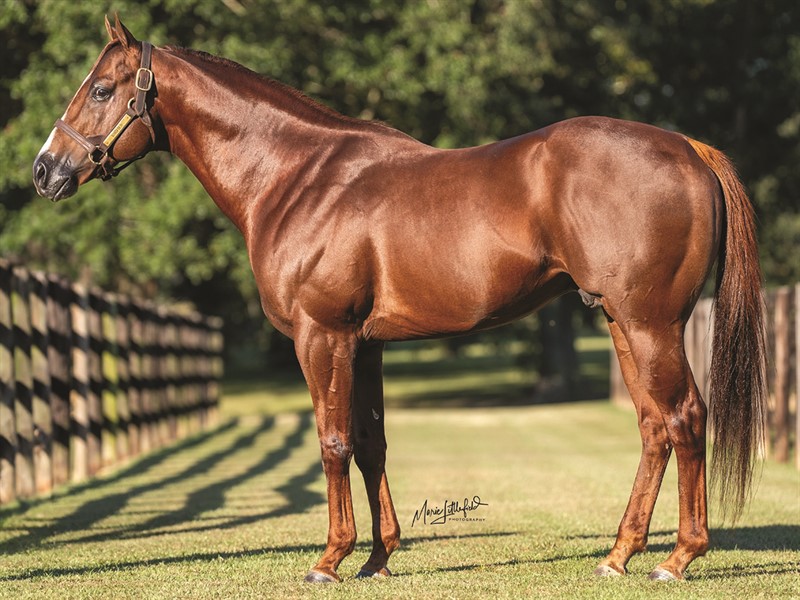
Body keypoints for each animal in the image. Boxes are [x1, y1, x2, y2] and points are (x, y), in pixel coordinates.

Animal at [33, 16, 767, 583]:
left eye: (102, 88)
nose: (44, 170)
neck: (298, 177)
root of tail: (688, 148)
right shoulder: (366, 345)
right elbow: (369, 442)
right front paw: (377, 560)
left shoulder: (322, 336)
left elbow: (331, 442)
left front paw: (328, 560)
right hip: (619, 321)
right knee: (653, 426)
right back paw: (618, 555)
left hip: (651, 324)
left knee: (686, 418)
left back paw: (677, 559)